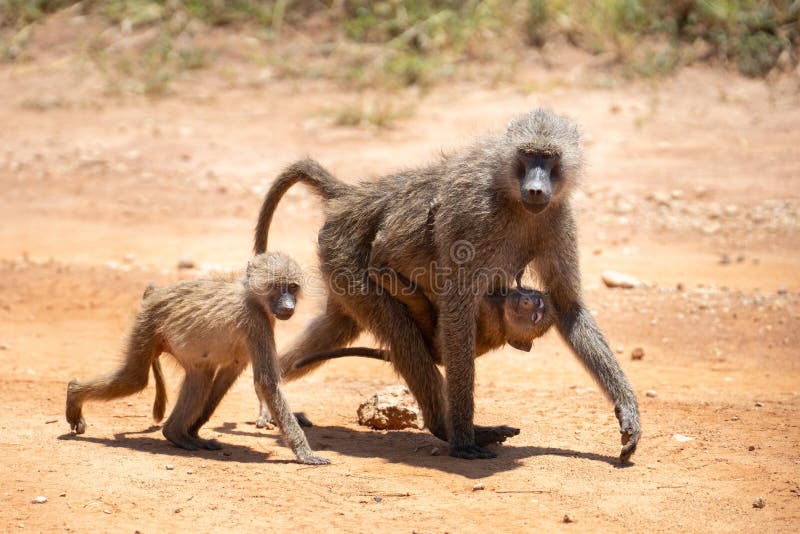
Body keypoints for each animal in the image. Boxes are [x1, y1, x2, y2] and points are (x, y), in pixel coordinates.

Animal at [65, 252, 330, 465]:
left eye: (292, 287)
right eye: (276, 286)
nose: (288, 307)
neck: (252, 296)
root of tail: (158, 292)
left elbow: (228, 374)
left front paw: (194, 431)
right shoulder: (257, 322)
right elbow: (267, 383)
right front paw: (305, 453)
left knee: (199, 378)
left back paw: (176, 434)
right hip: (147, 324)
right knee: (135, 379)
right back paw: (74, 392)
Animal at [254, 109, 641, 462]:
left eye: (550, 158)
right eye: (527, 155)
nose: (535, 188)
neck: (514, 201)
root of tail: (351, 197)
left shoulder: (558, 217)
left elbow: (568, 306)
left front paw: (627, 412)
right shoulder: (473, 215)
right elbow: (457, 308)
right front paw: (464, 440)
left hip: (340, 270)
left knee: (340, 328)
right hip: (346, 254)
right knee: (403, 336)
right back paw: (450, 429)